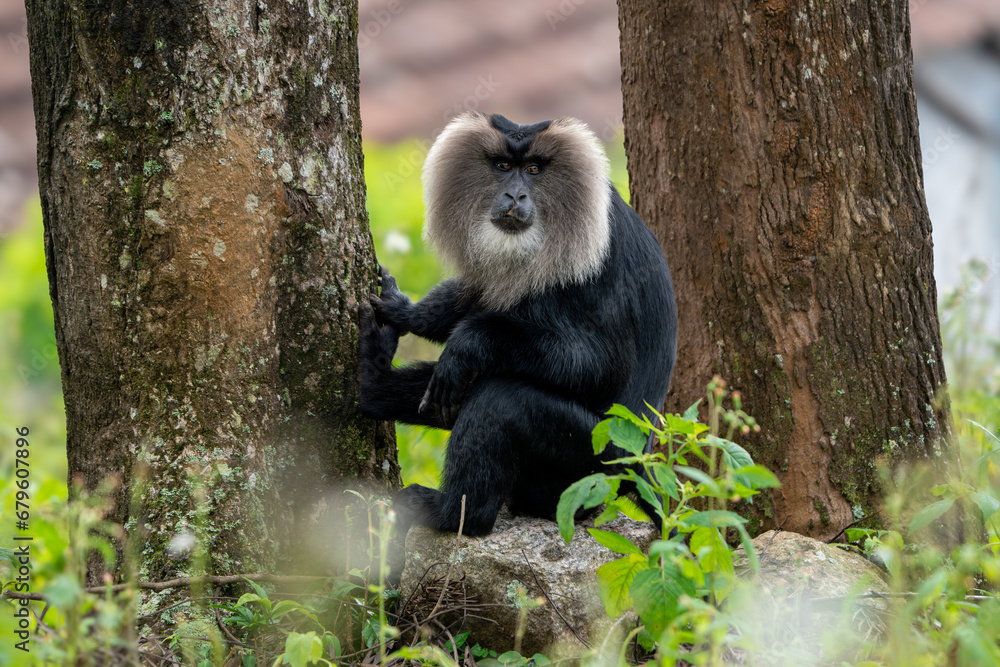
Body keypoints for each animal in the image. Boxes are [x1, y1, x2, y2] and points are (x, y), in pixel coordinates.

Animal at [359, 112, 677, 537]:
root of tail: (637, 466)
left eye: (534, 170)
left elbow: (601, 364)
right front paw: (405, 312)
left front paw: (468, 341)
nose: (514, 197)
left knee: (499, 395)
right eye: (503, 166)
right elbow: (478, 297)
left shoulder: (597, 264)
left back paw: (453, 514)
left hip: (592, 465)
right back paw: (370, 385)